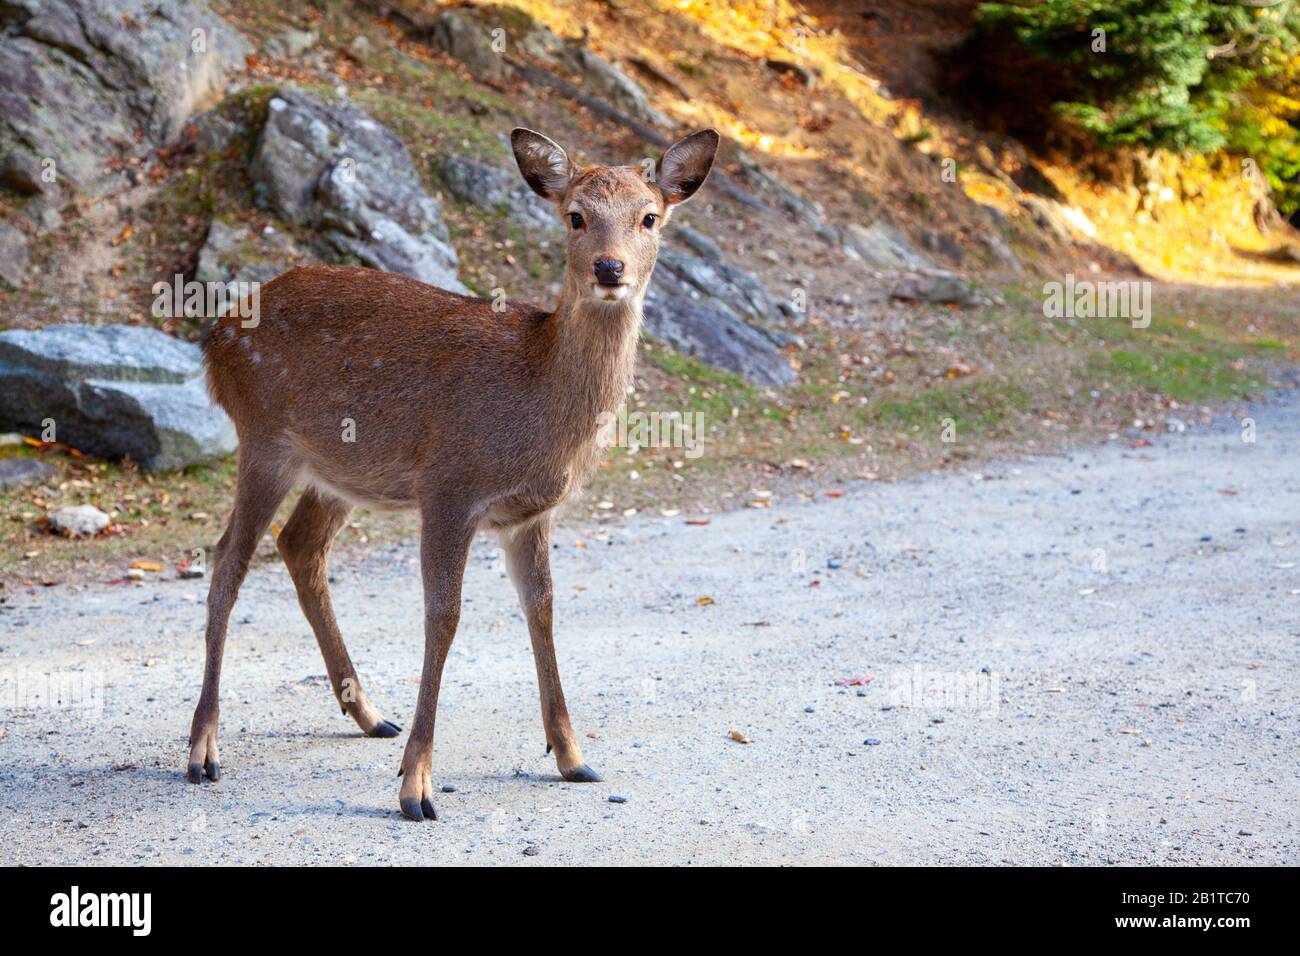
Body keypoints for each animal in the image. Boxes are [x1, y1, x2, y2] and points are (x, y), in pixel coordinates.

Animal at [188, 127, 720, 820]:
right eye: (576, 215)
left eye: (650, 217)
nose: (610, 268)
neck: (537, 405)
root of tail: (216, 337)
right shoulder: (449, 487)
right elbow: (444, 616)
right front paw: (416, 786)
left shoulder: (530, 514)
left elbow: (542, 607)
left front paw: (572, 756)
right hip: (263, 439)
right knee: (229, 558)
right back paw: (203, 749)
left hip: (339, 471)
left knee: (299, 546)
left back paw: (370, 714)